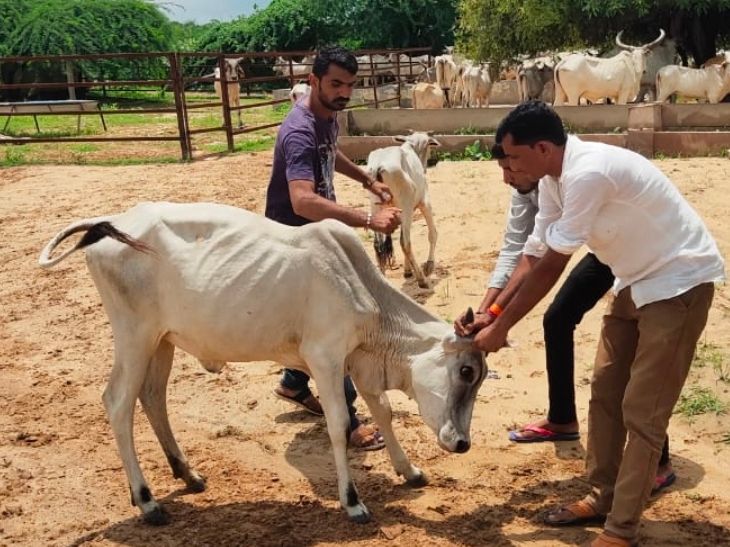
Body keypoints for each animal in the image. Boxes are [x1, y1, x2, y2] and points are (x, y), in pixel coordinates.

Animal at [38, 203, 485, 525]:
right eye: (466, 371)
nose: (463, 444)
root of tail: (111, 223)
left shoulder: (358, 362)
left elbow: (384, 412)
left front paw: (409, 471)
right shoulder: (325, 358)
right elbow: (339, 426)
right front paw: (352, 502)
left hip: (160, 341)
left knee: (152, 397)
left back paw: (188, 474)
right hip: (134, 335)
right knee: (117, 403)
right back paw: (147, 501)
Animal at [366, 132, 440, 289]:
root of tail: (378, 166)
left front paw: (407, 270)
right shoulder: (424, 202)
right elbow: (432, 234)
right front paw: (429, 265)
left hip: (376, 208)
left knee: (378, 245)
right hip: (406, 207)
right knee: (405, 242)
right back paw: (422, 279)